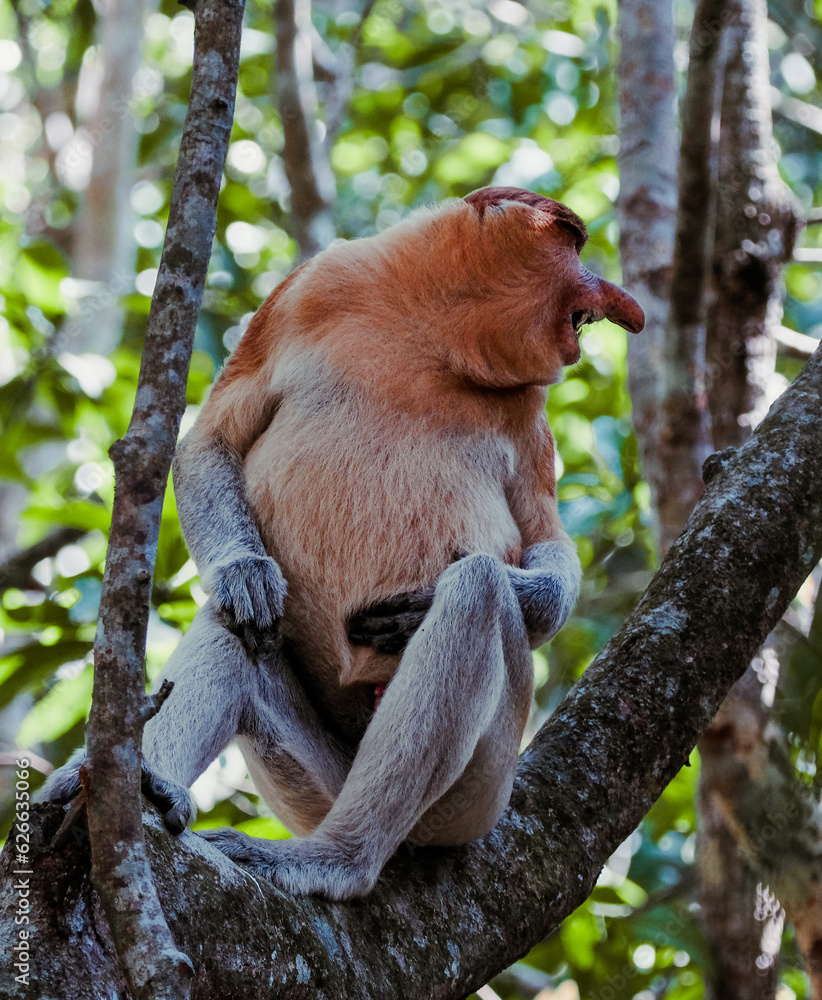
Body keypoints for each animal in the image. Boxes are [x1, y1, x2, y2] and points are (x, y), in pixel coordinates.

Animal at [42, 187, 644, 901]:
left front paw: (452, 605)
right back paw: (141, 786)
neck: (433, 327)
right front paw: (246, 572)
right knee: (236, 623)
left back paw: (333, 859)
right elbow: (211, 441)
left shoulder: (527, 406)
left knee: (476, 590)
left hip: (476, 797)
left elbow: (544, 541)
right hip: (318, 781)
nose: (623, 306)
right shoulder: (309, 290)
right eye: (573, 242)